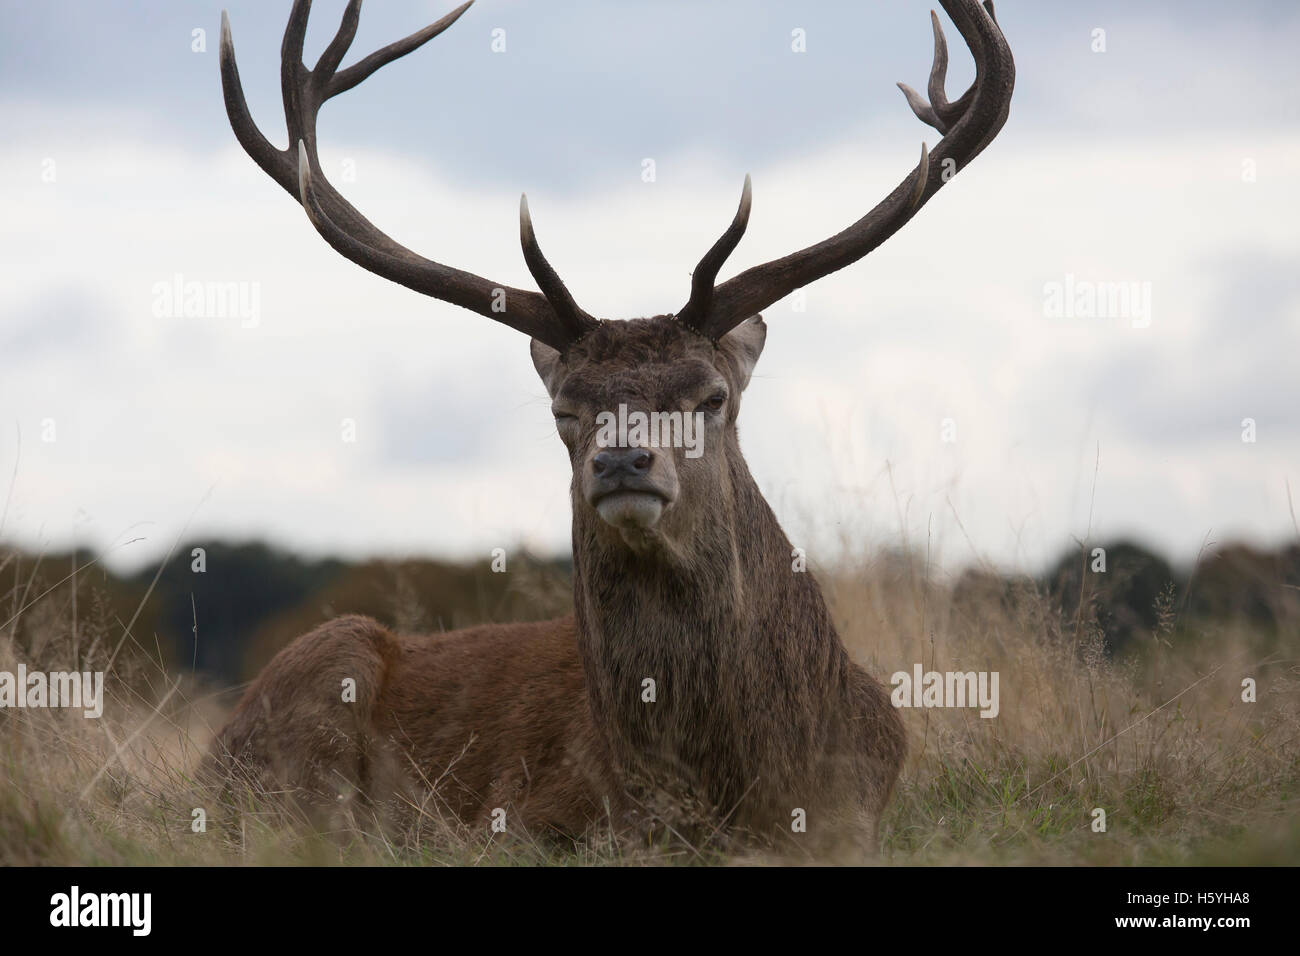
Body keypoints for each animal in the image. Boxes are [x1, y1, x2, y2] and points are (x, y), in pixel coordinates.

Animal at [205, 0, 1014, 860]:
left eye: (710, 397)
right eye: (566, 410)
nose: (623, 460)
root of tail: (208, 757)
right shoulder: (524, 821)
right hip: (324, 674)